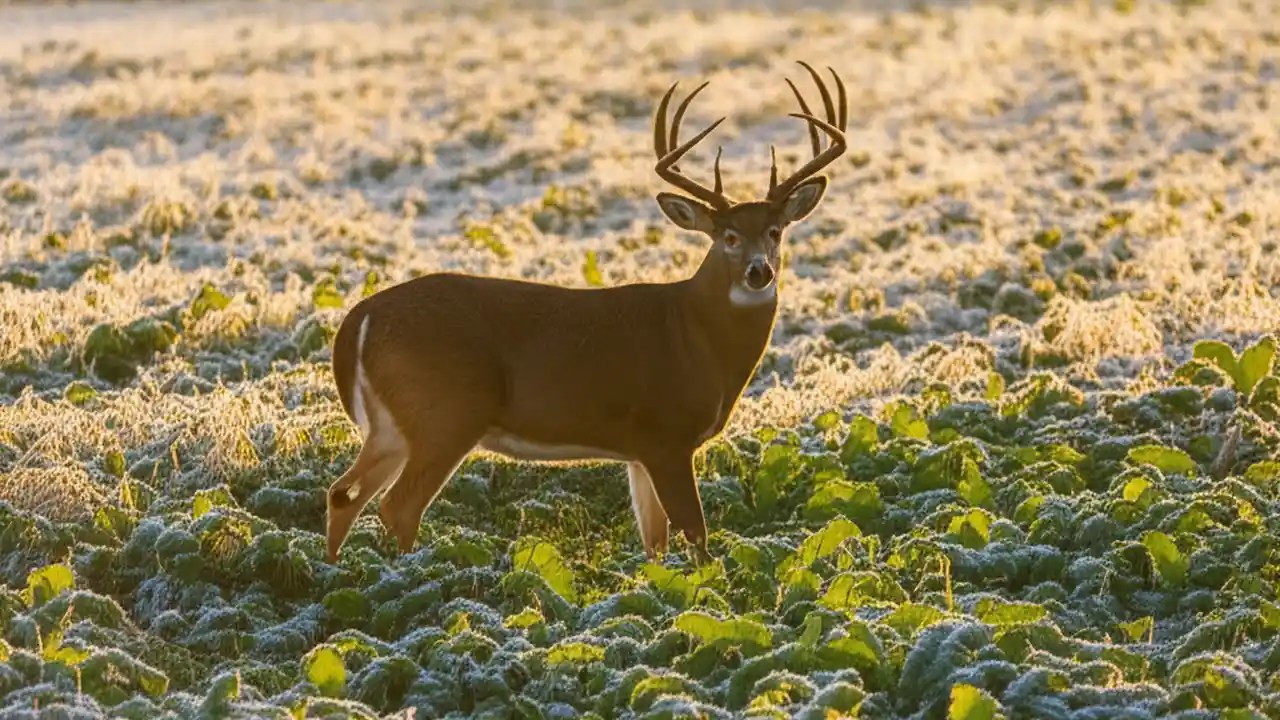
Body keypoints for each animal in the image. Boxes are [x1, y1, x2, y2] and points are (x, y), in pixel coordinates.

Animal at [323, 61, 848, 565]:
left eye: (776, 231)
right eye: (728, 236)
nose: (759, 272)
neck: (697, 335)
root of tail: (359, 319)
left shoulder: (639, 451)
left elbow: (654, 543)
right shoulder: (665, 433)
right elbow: (696, 538)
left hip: (393, 426)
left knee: (342, 494)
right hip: (446, 414)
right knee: (397, 505)